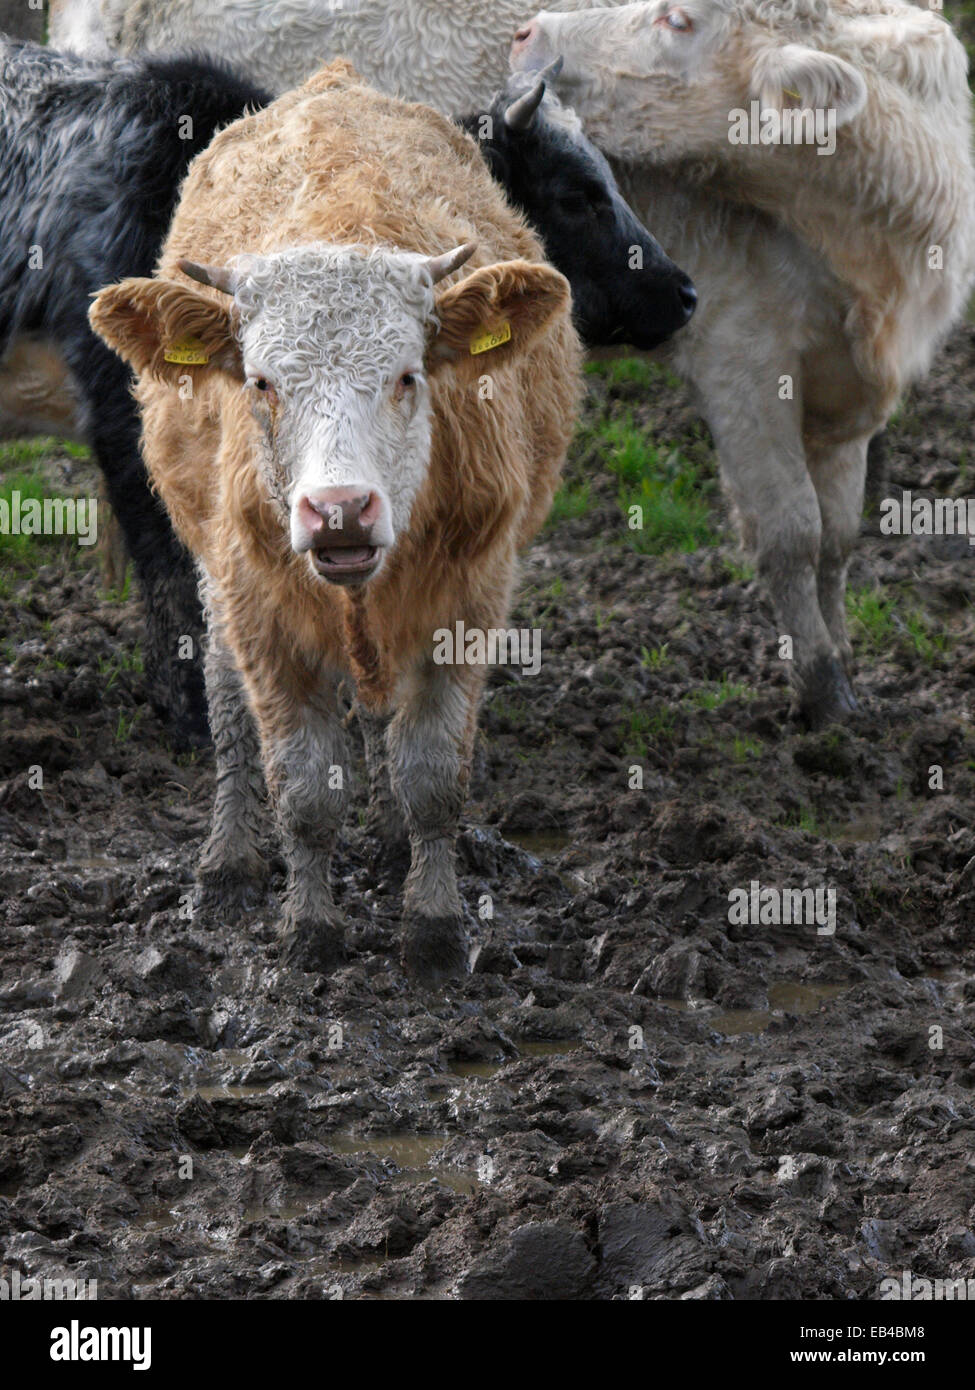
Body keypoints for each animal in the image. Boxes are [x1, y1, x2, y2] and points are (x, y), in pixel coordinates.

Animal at [89, 61, 584, 984]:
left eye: (405, 376)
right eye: (260, 382)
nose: (340, 511)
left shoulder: (469, 598)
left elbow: (431, 775)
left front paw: (433, 925)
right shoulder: (261, 612)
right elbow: (303, 786)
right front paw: (308, 928)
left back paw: (389, 843)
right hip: (217, 576)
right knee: (226, 706)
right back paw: (228, 865)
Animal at [512, 0, 975, 725]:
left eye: (677, 20)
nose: (526, 32)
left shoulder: (846, 395)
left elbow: (838, 535)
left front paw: (844, 666)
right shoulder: (740, 352)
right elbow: (792, 530)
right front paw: (823, 692)